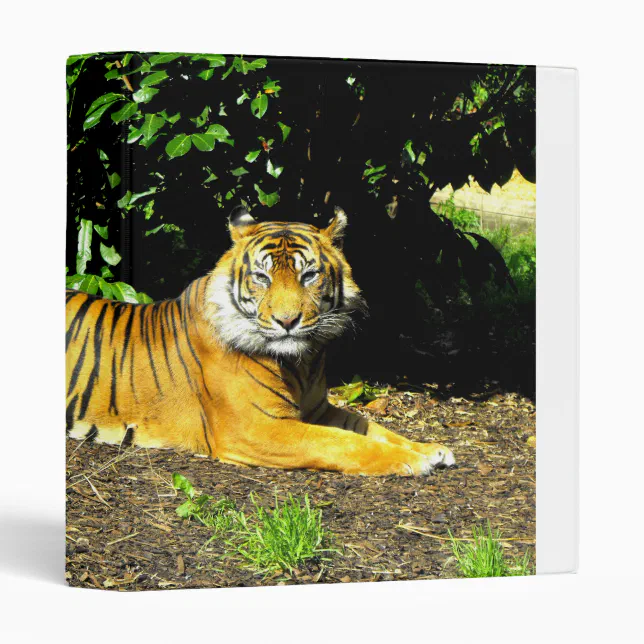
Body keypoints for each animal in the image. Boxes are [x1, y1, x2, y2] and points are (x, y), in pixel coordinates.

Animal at [65, 206, 455, 476]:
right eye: (262, 277)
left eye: (308, 275)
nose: (287, 321)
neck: (303, 363)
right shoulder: (255, 427)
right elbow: (339, 441)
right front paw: (411, 460)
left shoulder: (319, 409)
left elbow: (372, 428)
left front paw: (429, 448)